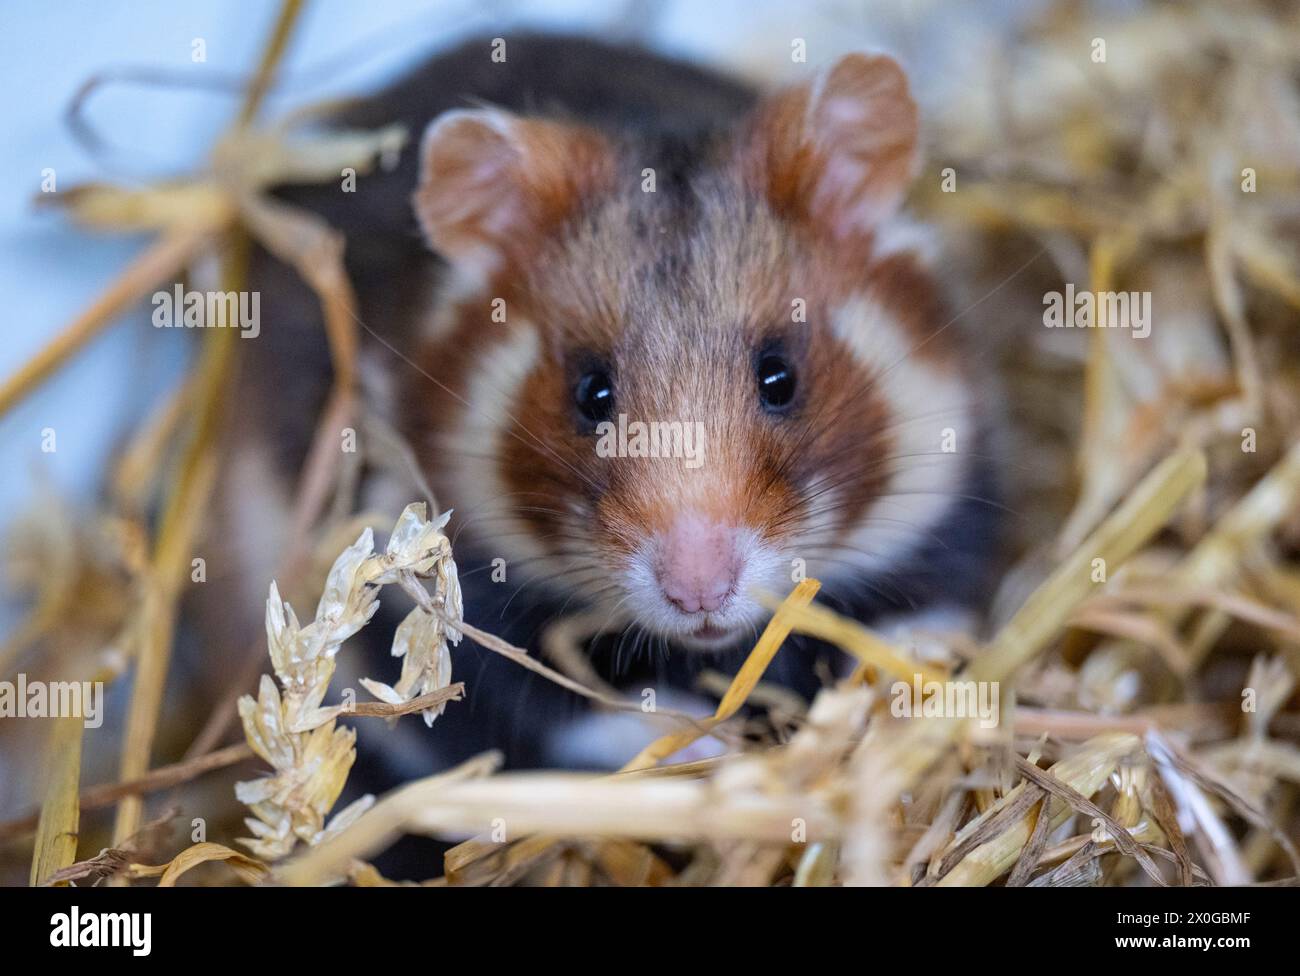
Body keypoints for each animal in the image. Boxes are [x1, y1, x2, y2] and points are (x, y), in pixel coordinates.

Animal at [224, 34, 1000, 780]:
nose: (699, 596)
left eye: (781, 377)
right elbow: (574, 715)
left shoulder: (944, 529)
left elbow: (912, 632)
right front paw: (705, 744)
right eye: (591, 393)